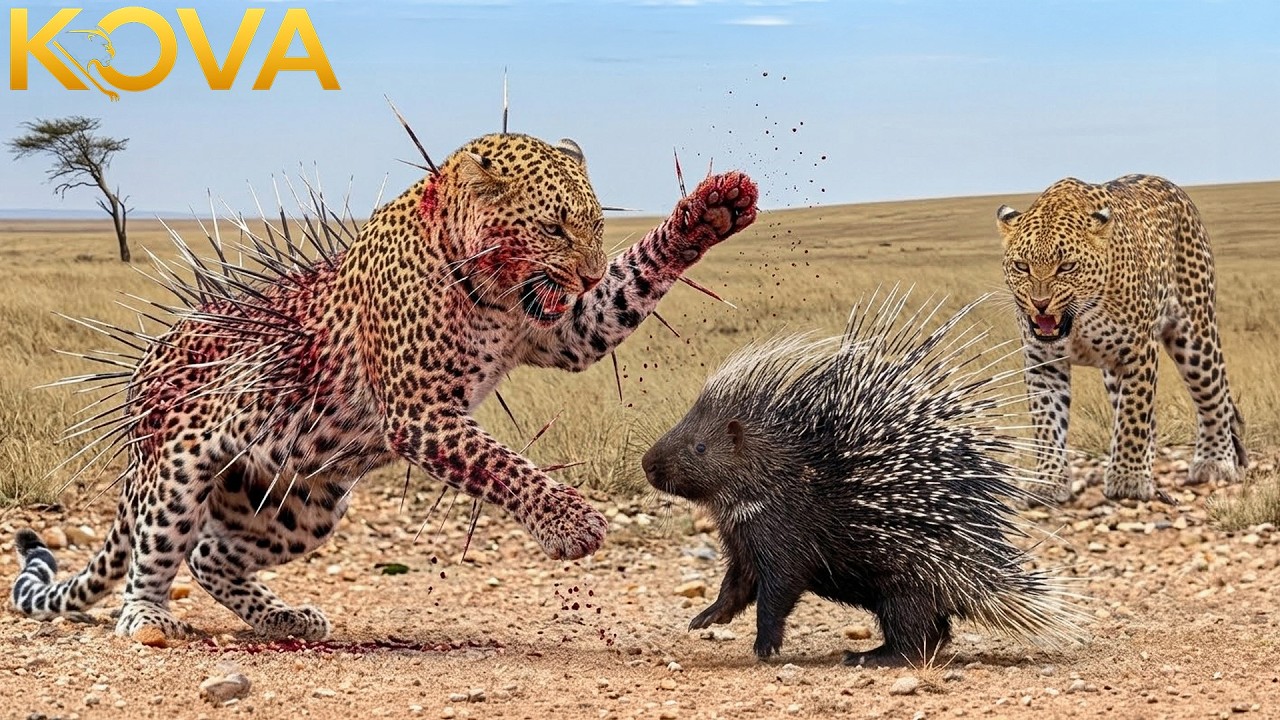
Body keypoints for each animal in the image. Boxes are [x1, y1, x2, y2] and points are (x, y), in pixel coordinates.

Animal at [10, 132, 759, 642]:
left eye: (599, 224)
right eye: (553, 226)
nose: (585, 273)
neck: (489, 284)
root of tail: (141, 374)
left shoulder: (567, 330)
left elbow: (631, 281)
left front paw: (712, 210)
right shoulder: (420, 412)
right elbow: (503, 464)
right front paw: (571, 524)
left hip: (293, 506)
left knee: (209, 554)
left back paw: (286, 619)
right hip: (177, 470)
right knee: (160, 550)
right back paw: (146, 619)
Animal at [996, 174, 1246, 503]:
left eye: (1067, 267)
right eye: (1021, 266)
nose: (1040, 303)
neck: (1078, 321)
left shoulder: (1139, 352)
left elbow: (1134, 415)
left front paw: (1128, 479)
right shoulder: (1043, 362)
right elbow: (1047, 422)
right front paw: (1048, 481)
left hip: (1195, 334)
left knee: (1213, 397)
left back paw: (1214, 461)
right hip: (1114, 370)